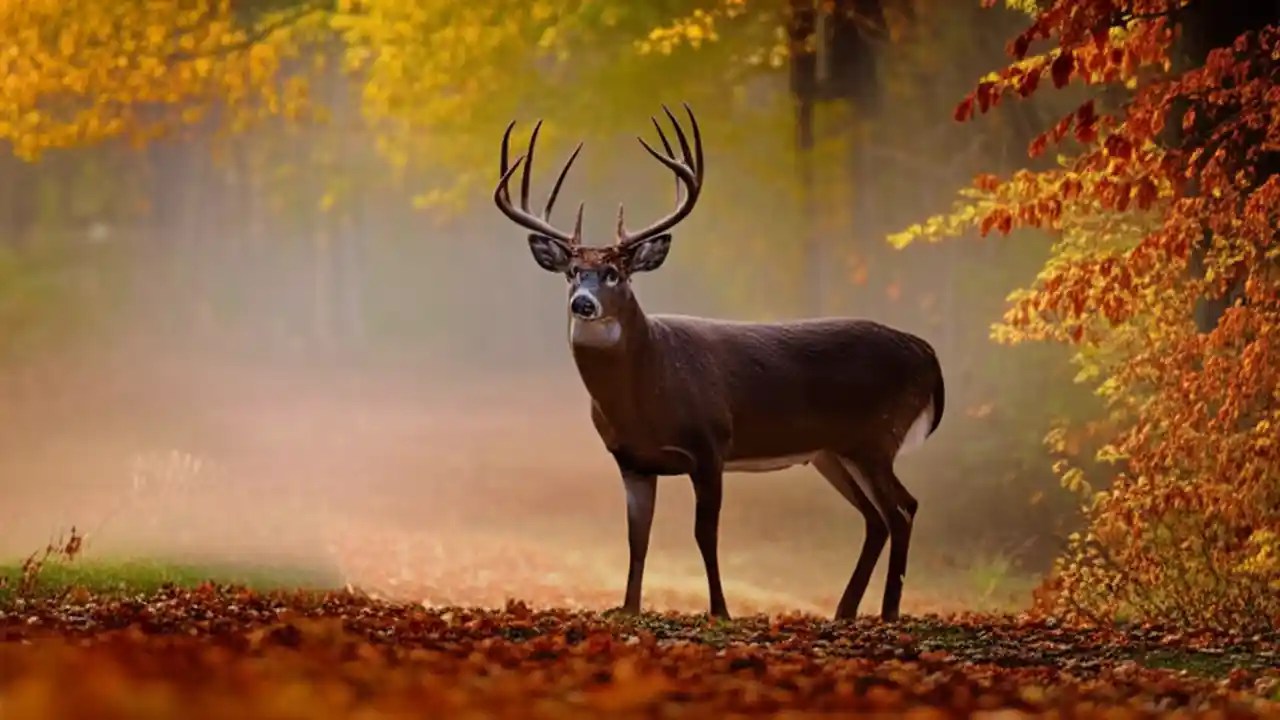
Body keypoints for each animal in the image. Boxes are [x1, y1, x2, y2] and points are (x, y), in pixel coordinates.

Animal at [492, 103, 945, 622]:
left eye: (615, 273)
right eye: (571, 272)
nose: (582, 303)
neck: (647, 392)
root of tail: (929, 355)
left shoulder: (710, 443)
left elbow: (704, 534)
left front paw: (720, 610)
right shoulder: (631, 460)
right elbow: (636, 539)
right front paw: (628, 608)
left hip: (877, 435)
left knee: (903, 508)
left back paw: (887, 612)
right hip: (832, 451)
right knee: (877, 518)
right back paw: (845, 611)